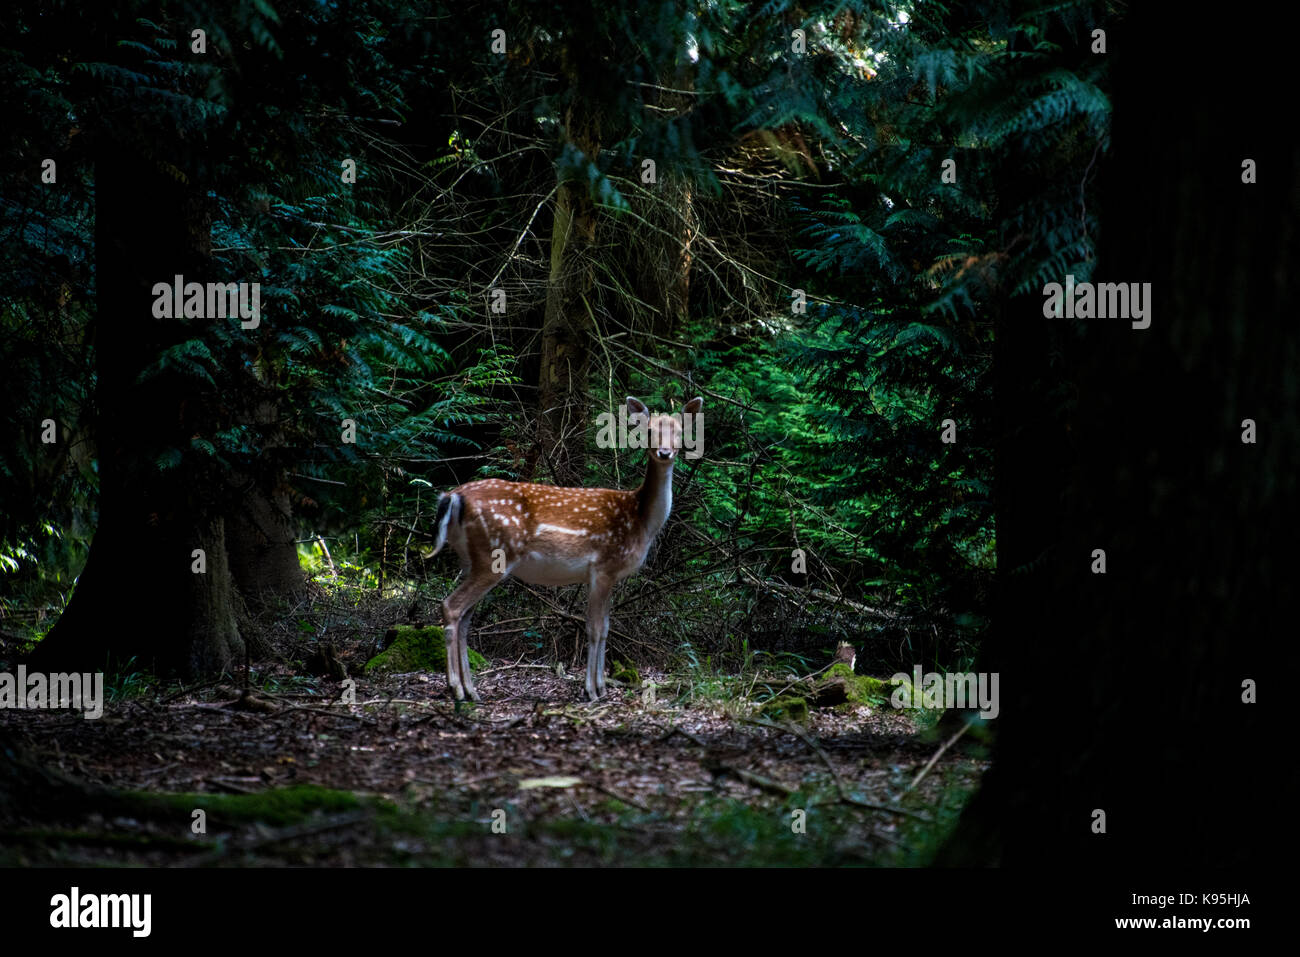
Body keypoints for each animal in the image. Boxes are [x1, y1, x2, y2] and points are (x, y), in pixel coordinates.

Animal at [430, 396, 704, 702]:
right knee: (452, 606)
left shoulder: (609, 576)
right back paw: (456, 688)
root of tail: (452, 497)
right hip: (493, 555)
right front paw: (592, 690)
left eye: (680, 431)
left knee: (465, 617)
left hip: (470, 559)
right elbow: (594, 629)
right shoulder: (603, 566)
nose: (665, 452)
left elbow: (606, 628)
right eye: (648, 431)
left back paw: (471, 690)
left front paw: (602, 688)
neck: (640, 521)